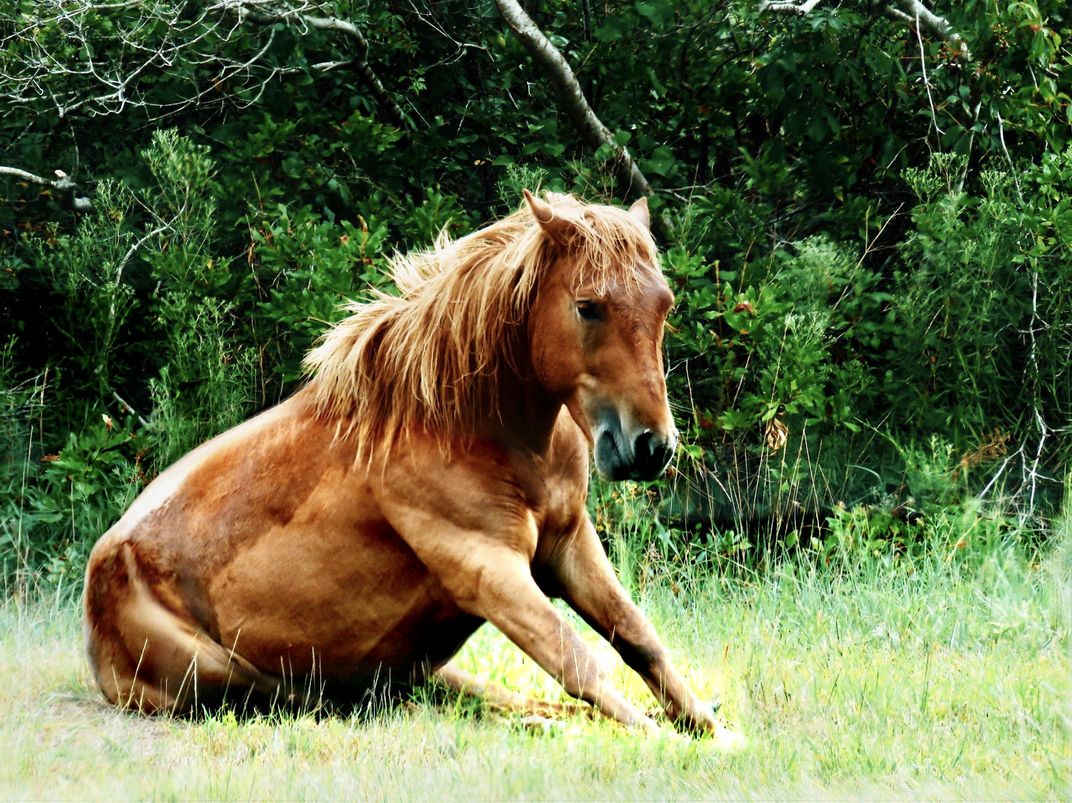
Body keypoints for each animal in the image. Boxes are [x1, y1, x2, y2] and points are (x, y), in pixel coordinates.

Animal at [82, 190, 721, 734]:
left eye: (663, 304)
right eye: (588, 307)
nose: (650, 446)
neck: (465, 424)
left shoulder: (568, 544)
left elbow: (637, 639)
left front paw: (709, 727)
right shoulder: (489, 568)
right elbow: (578, 661)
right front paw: (668, 741)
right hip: (235, 677)